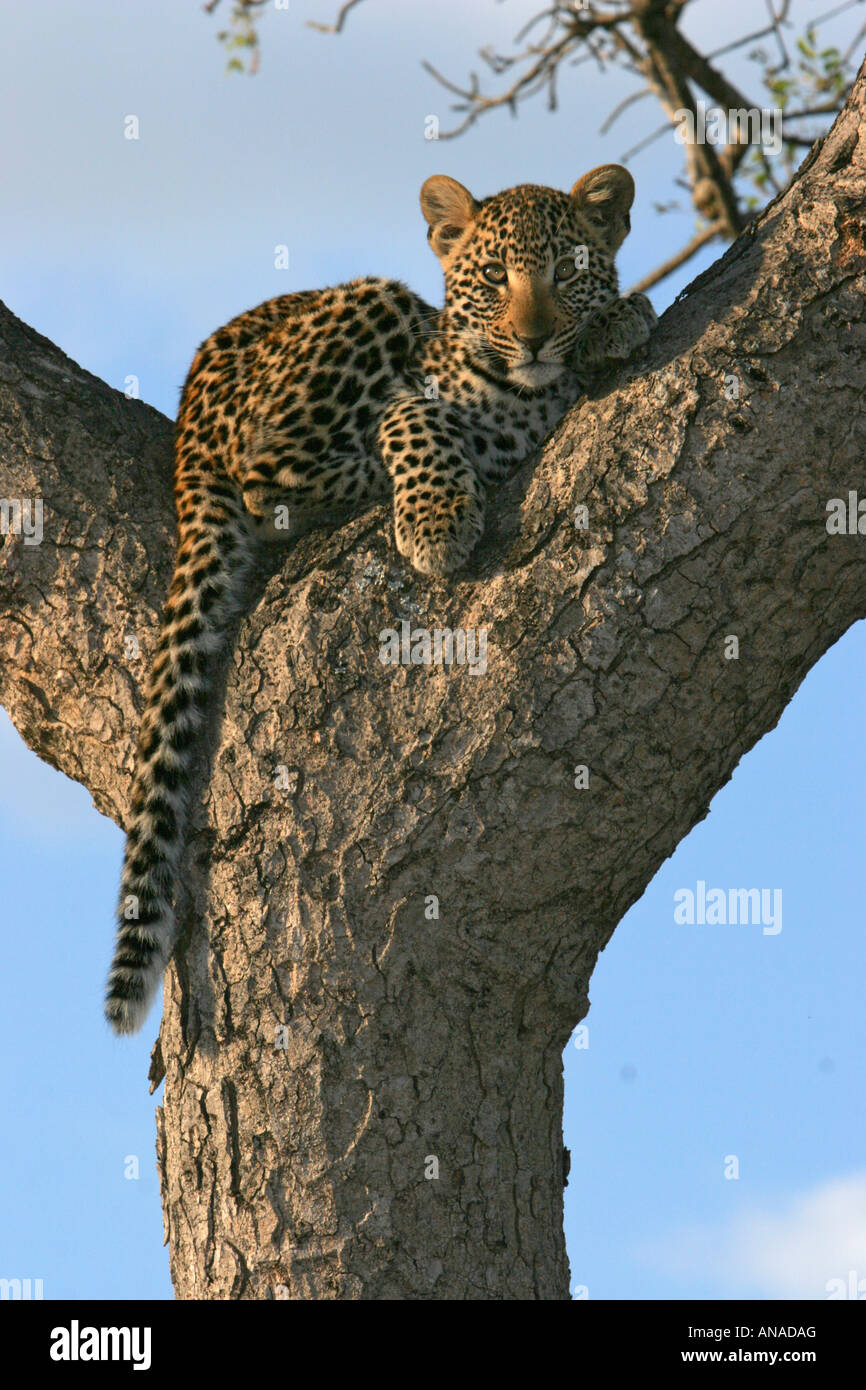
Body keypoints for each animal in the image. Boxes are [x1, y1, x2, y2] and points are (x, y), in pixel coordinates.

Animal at [104, 163, 656, 1035]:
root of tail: (189, 431)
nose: (535, 338)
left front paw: (615, 320)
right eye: (494, 278)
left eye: (568, 272)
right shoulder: (436, 393)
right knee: (272, 477)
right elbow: (424, 418)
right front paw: (437, 516)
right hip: (362, 311)